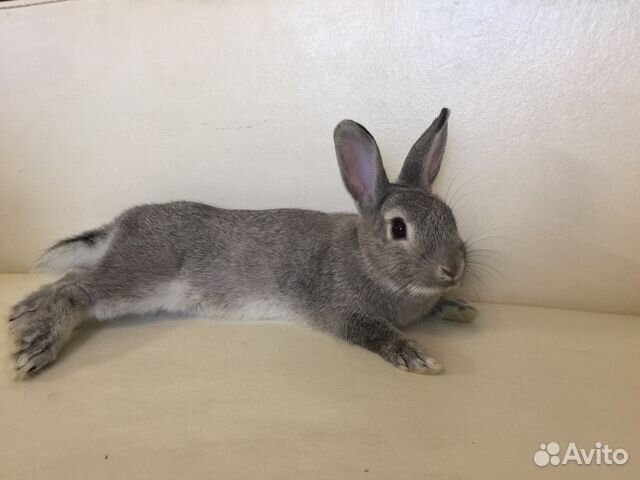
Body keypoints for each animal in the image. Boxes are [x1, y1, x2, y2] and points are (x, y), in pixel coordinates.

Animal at [8, 108, 477, 379]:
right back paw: (37, 342)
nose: (453, 269)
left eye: (450, 216)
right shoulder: (342, 313)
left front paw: (460, 309)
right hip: (143, 274)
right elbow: (376, 334)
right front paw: (418, 357)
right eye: (398, 229)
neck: (366, 258)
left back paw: (22, 312)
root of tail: (122, 223)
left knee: (71, 277)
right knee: (78, 290)